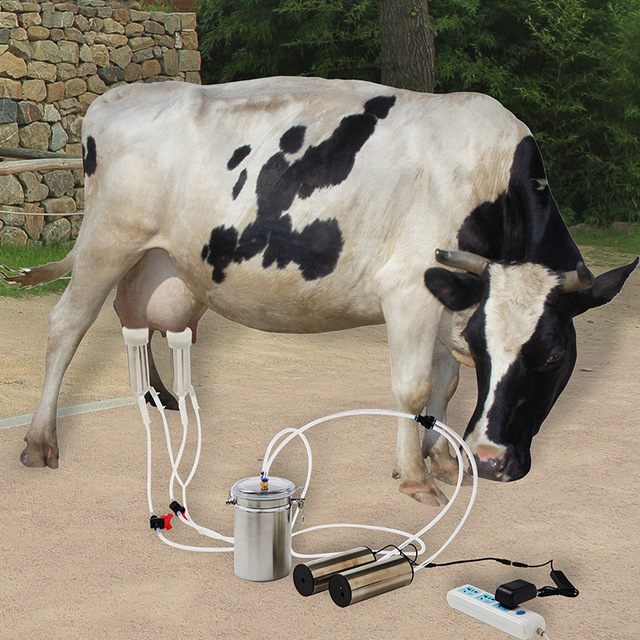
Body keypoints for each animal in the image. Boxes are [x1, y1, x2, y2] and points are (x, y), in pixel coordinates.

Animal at [1, 77, 636, 507]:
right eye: (490, 351)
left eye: (551, 356)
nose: (490, 461)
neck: (490, 179)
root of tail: (117, 96)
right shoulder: (409, 290)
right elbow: (414, 387)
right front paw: (414, 478)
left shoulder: (451, 301)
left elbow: (445, 384)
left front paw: (438, 457)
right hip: (107, 241)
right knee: (68, 324)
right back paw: (41, 441)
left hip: (155, 260)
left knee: (136, 319)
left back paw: (160, 400)